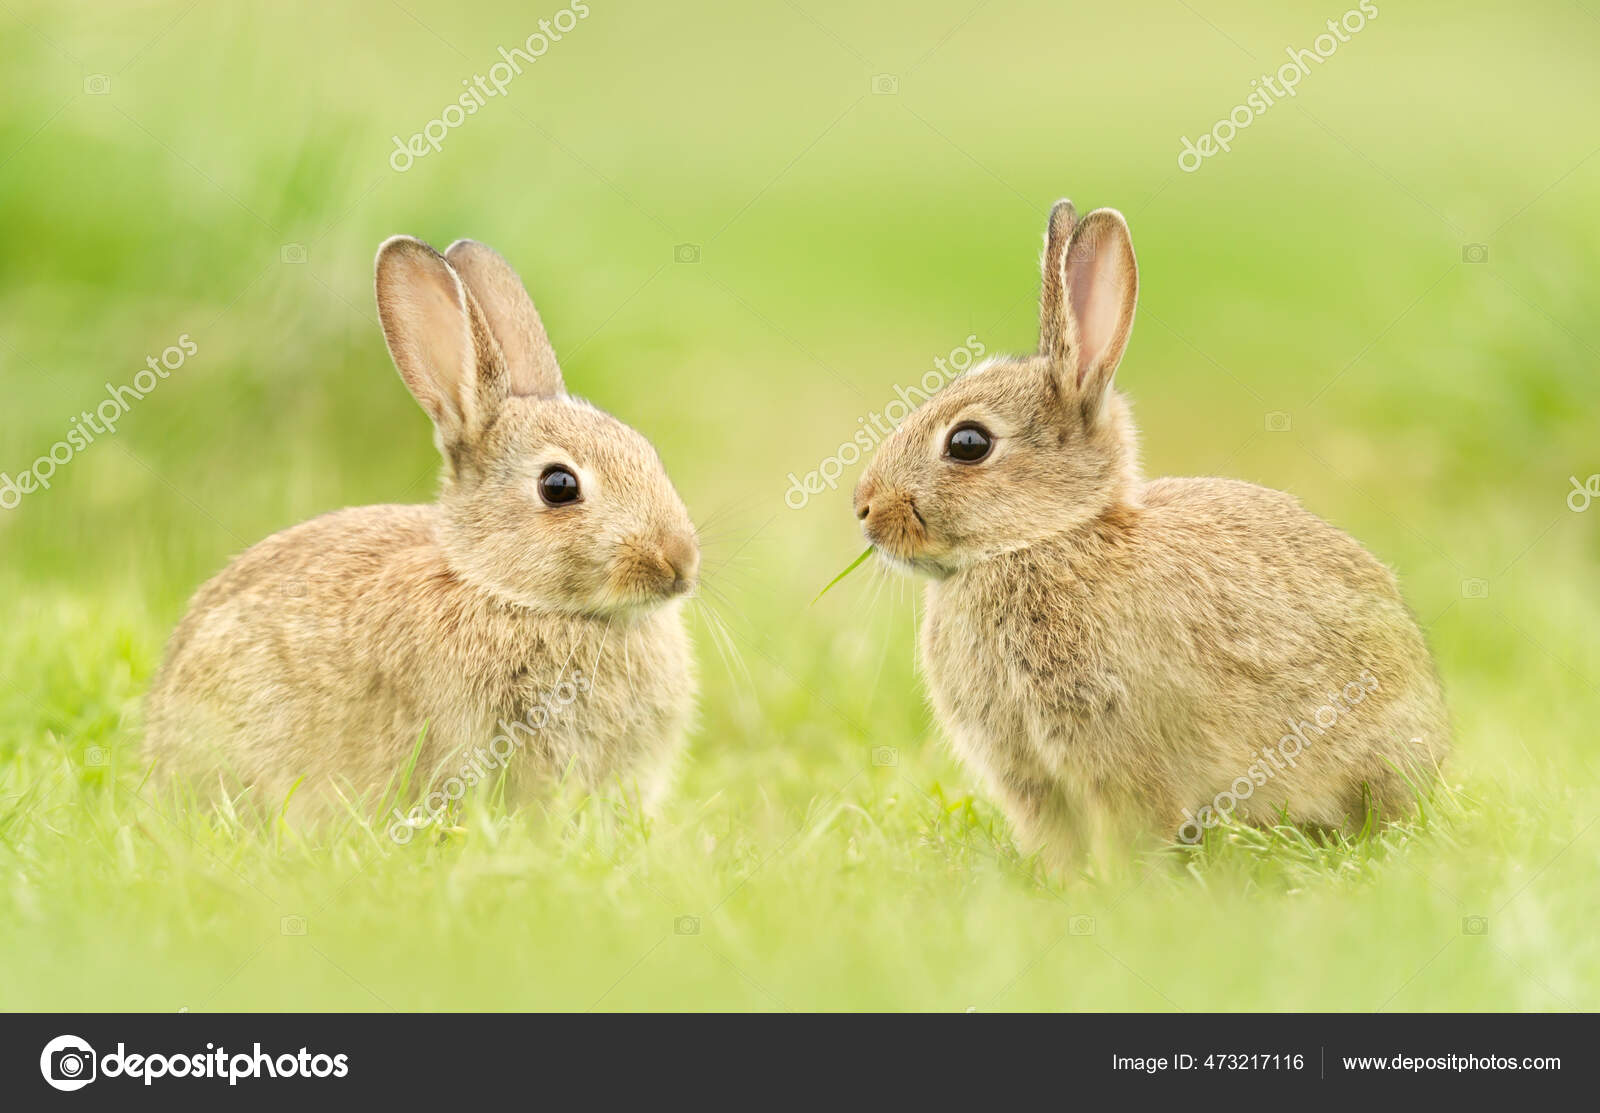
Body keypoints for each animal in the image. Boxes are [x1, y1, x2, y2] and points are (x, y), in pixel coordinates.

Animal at [852, 199, 1448, 867]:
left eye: (968, 443)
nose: (864, 508)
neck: (1047, 539)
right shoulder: (1029, 777)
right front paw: (1063, 880)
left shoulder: (1119, 756)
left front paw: (1118, 884)